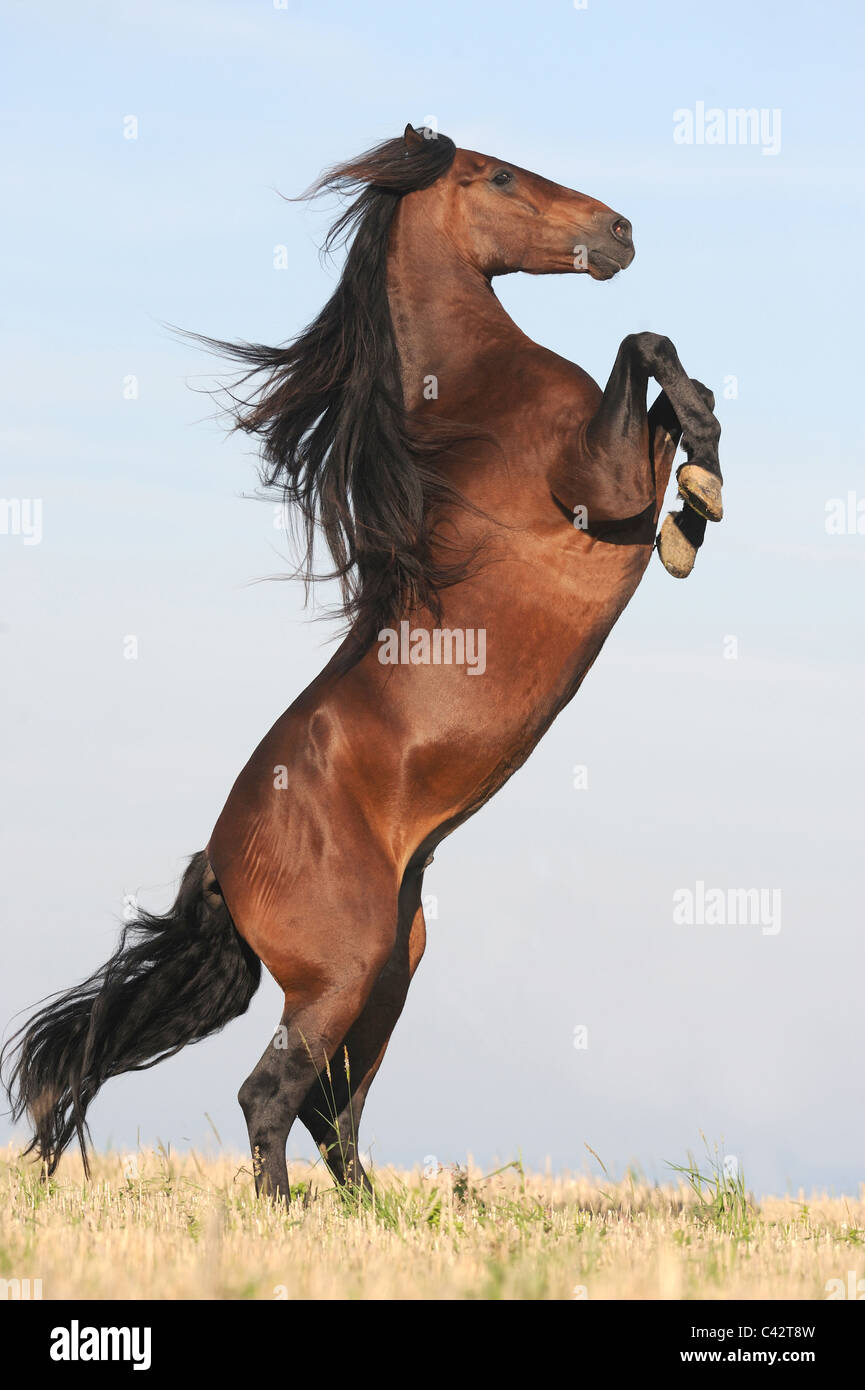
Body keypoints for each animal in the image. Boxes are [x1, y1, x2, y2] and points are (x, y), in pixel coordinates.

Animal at [2, 125, 723, 1200]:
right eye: (497, 174)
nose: (618, 231)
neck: (478, 400)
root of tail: (220, 862)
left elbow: (676, 401)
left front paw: (697, 503)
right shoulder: (596, 482)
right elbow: (645, 351)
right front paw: (699, 491)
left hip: (391, 964)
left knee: (329, 1108)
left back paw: (376, 1216)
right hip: (343, 967)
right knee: (272, 1096)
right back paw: (282, 1215)